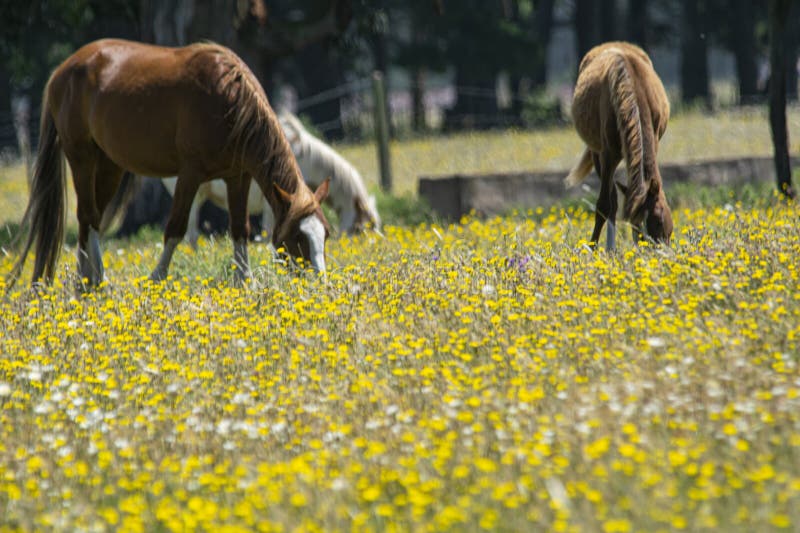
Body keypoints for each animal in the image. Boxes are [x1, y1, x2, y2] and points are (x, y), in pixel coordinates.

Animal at [8, 38, 331, 289]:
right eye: (298, 236)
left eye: (324, 234)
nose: (320, 284)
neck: (229, 102)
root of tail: (62, 70)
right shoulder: (190, 174)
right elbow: (175, 228)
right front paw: (156, 278)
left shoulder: (237, 177)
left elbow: (240, 229)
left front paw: (245, 282)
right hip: (81, 158)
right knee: (88, 214)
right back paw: (98, 281)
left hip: (110, 165)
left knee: (91, 219)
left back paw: (85, 283)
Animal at [565, 41, 672, 250]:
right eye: (635, 223)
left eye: (659, 220)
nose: (648, 249)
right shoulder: (608, 154)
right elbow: (604, 205)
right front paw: (594, 247)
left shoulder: (654, 141)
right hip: (597, 152)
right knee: (611, 200)